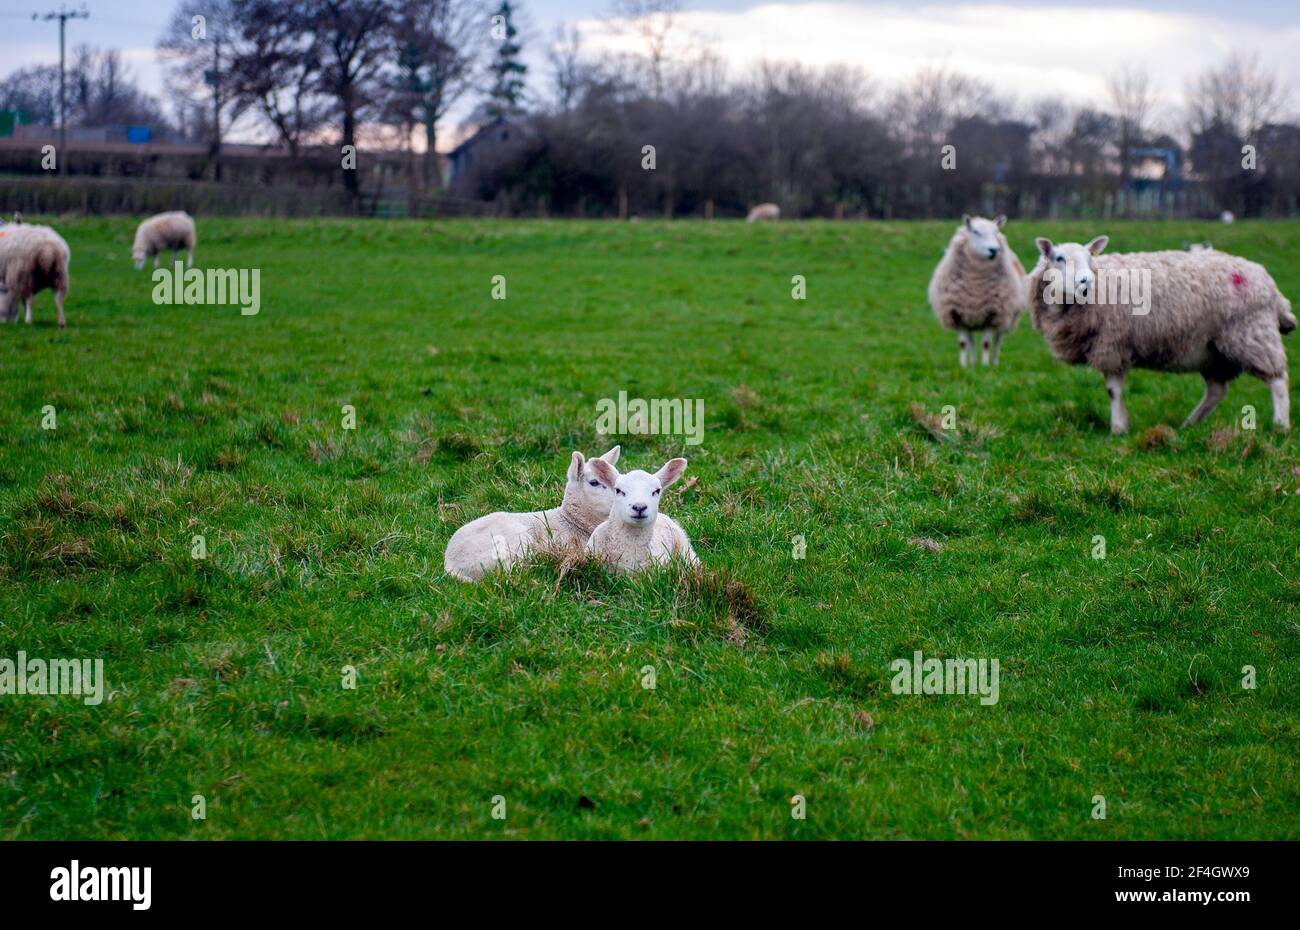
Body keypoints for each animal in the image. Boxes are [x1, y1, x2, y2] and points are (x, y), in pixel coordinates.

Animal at [927, 214, 1028, 367]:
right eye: (975, 232)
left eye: (996, 232)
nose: (994, 250)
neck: (976, 284)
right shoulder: (958, 315)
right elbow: (963, 344)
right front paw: (964, 366)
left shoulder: (992, 314)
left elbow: (986, 344)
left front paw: (985, 366)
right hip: (971, 318)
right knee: (971, 342)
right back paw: (973, 364)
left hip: (1006, 317)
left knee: (998, 341)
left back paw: (994, 363)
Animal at [1028, 235, 1294, 434]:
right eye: (1059, 258)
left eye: (1089, 257)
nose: (1086, 281)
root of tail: (1271, 286)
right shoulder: (1111, 345)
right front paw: (1122, 425)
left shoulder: (1112, 345)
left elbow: (1113, 391)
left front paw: (1118, 428)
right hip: (1212, 351)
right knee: (1216, 391)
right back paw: (1188, 425)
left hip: (1252, 334)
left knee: (1278, 380)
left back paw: (1281, 426)